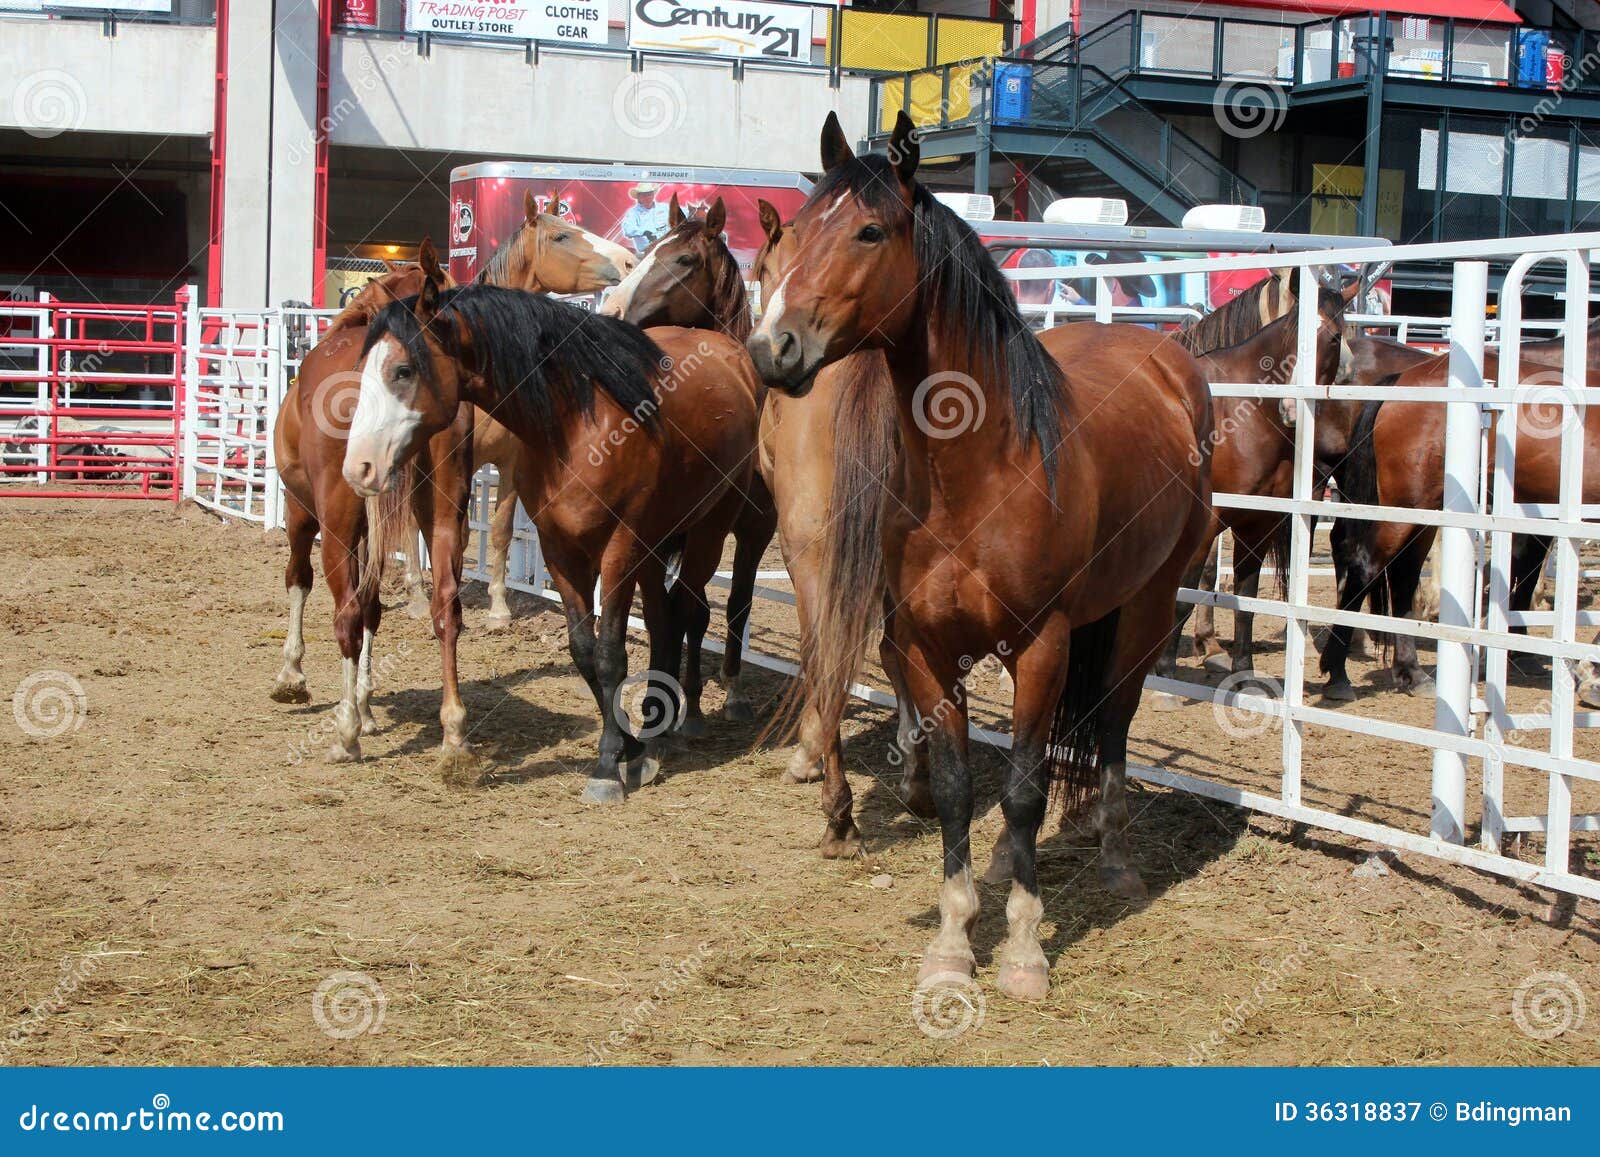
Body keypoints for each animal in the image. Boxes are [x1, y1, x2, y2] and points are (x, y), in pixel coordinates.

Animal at [343, 280, 760, 802]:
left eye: (403, 370)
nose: (358, 466)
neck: (579, 422)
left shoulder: (618, 548)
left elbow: (610, 654)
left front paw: (606, 768)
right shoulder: (559, 549)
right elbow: (583, 651)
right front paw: (628, 748)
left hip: (705, 531)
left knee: (689, 611)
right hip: (652, 546)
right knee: (663, 620)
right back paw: (653, 729)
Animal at [598, 194, 774, 734]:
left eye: (684, 260)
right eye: (647, 250)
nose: (612, 309)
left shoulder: (754, 531)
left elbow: (733, 606)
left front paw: (725, 693)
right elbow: (684, 611)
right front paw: (683, 697)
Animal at [747, 112, 1213, 1001]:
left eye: (868, 231)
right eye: (795, 232)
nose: (771, 349)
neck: (978, 470)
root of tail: (1169, 364)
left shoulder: (1041, 644)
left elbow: (1026, 787)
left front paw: (1025, 950)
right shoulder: (927, 646)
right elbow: (965, 787)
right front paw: (955, 939)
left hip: (1147, 606)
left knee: (1113, 721)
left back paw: (1115, 858)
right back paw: (1004, 864)